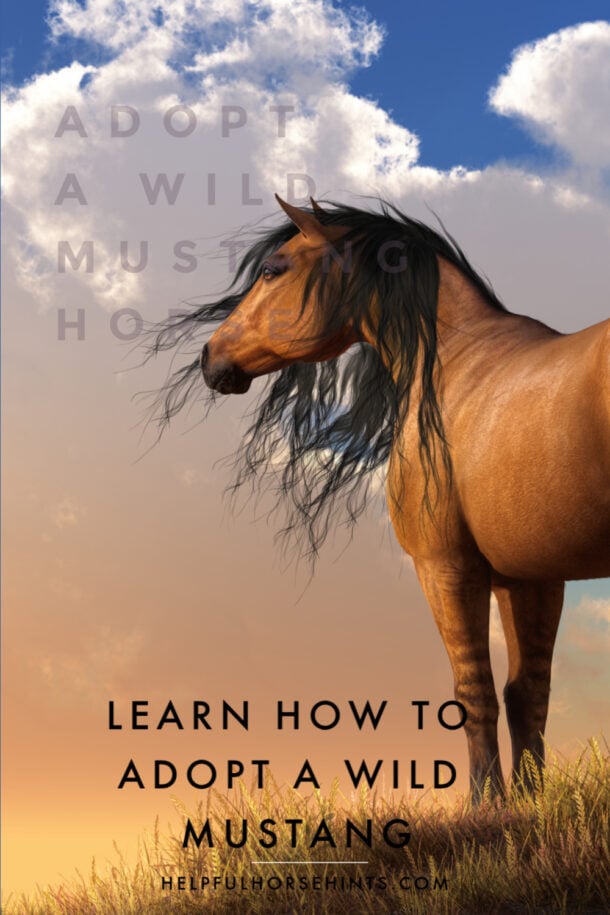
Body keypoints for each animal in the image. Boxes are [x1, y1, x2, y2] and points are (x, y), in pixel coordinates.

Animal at [154, 195, 610, 797]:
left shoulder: (445, 566)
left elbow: (475, 691)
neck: (456, 367)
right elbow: (526, 693)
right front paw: (527, 803)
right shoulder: (529, 576)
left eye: (273, 269)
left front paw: (486, 803)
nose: (210, 358)